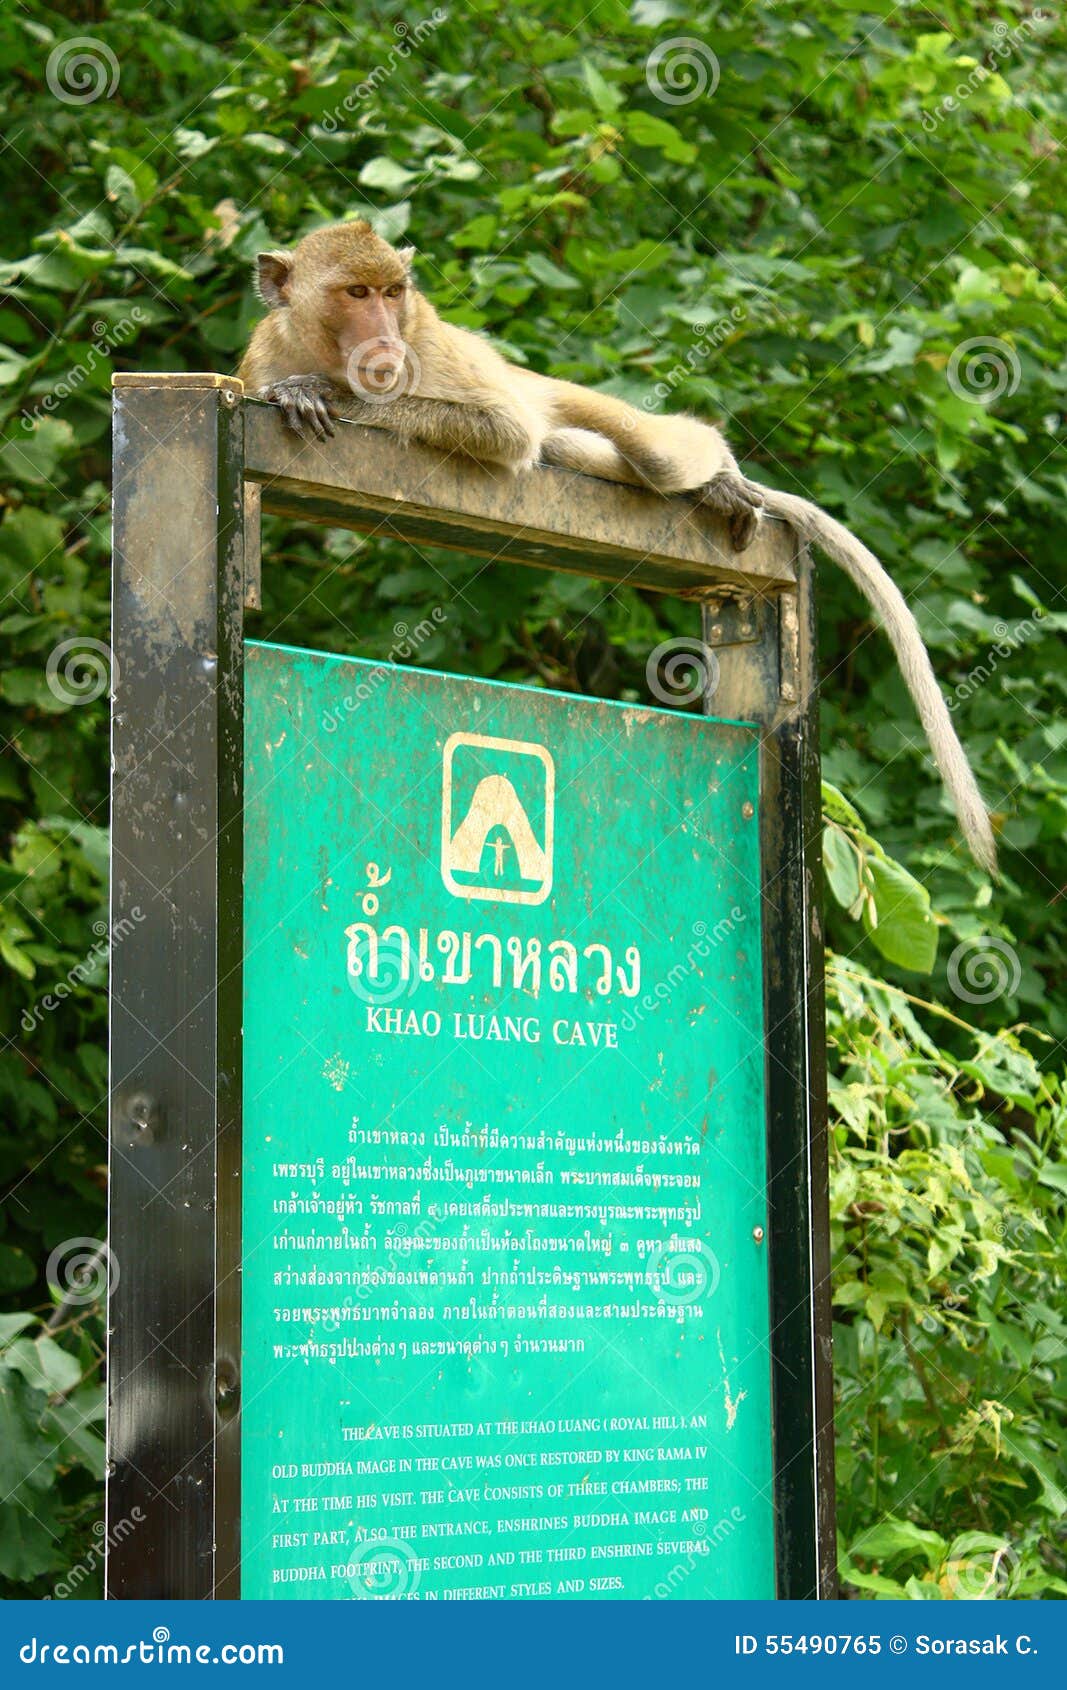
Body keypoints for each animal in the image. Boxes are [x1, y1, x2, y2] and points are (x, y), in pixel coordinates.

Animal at [239, 220, 996, 874]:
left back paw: (721, 478)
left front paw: (324, 395)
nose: (384, 337)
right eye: (355, 294)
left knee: (637, 449)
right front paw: (308, 389)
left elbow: (505, 431)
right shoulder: (257, 361)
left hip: (547, 393)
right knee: (573, 450)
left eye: (392, 293)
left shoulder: (434, 349)